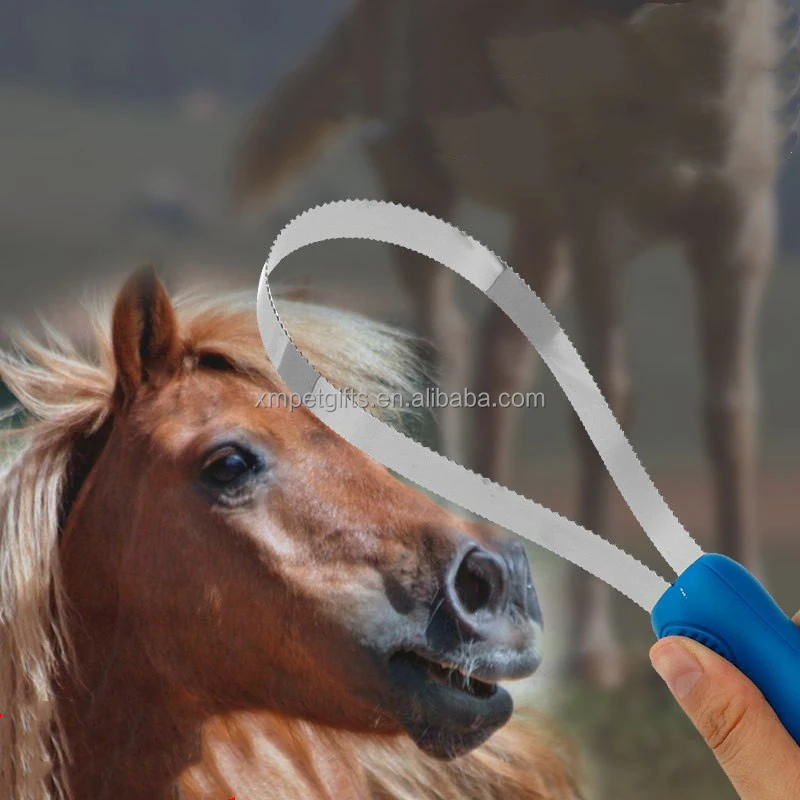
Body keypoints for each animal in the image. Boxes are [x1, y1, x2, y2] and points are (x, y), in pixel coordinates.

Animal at [232, 0, 800, 685]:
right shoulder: (597, 221)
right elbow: (607, 408)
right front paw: (592, 654)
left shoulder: (738, 229)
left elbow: (732, 415)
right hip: (421, 172)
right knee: (440, 339)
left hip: (540, 217)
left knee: (497, 358)